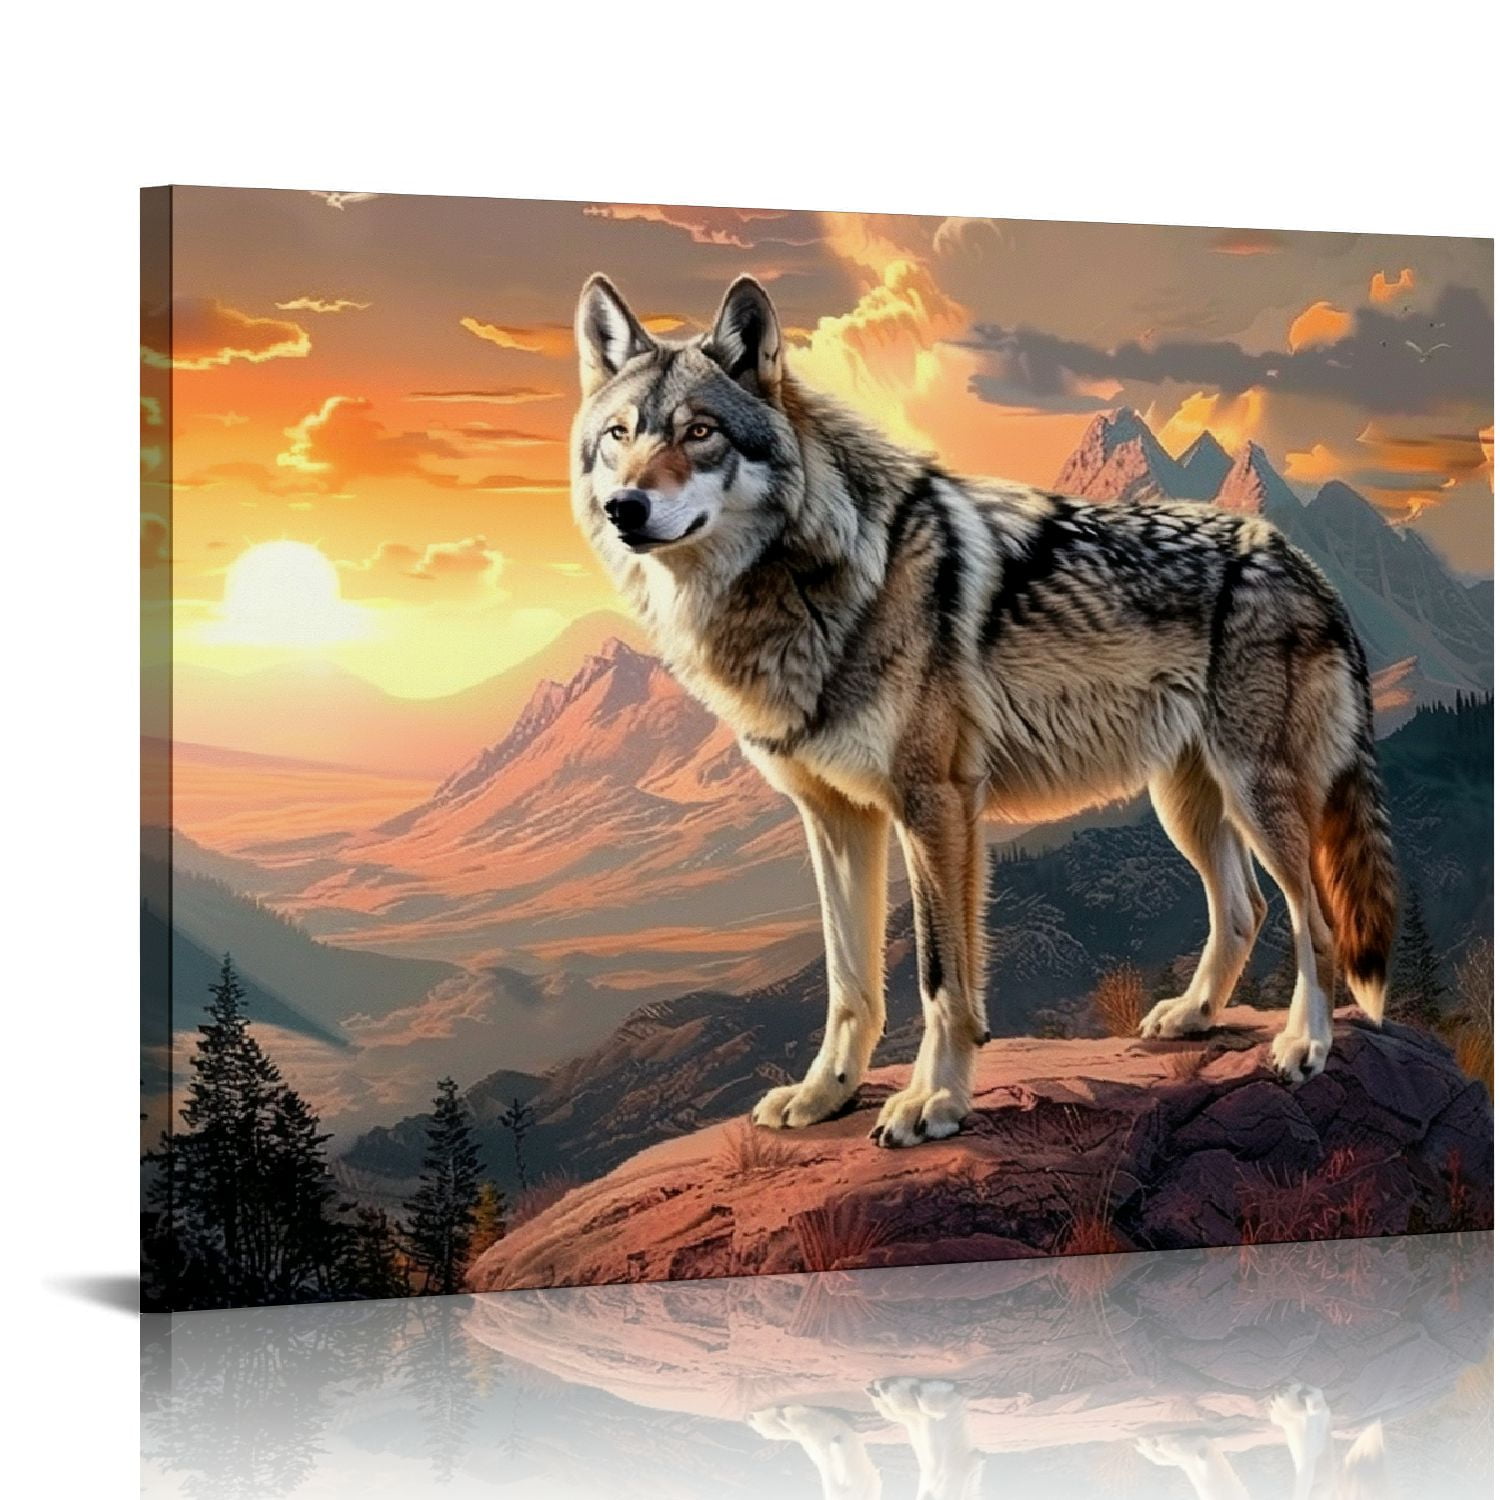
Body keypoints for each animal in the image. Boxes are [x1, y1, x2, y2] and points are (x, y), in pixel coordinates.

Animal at [570, 273, 1397, 1148]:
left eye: (699, 432)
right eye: (619, 435)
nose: (624, 507)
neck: (814, 580)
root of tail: (1299, 557)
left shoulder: (936, 806)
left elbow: (941, 978)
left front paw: (933, 1101)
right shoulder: (835, 818)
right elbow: (849, 981)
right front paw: (826, 1093)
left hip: (1254, 794)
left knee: (1315, 921)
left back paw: (1304, 1043)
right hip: (1185, 804)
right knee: (1244, 910)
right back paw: (1194, 1016)